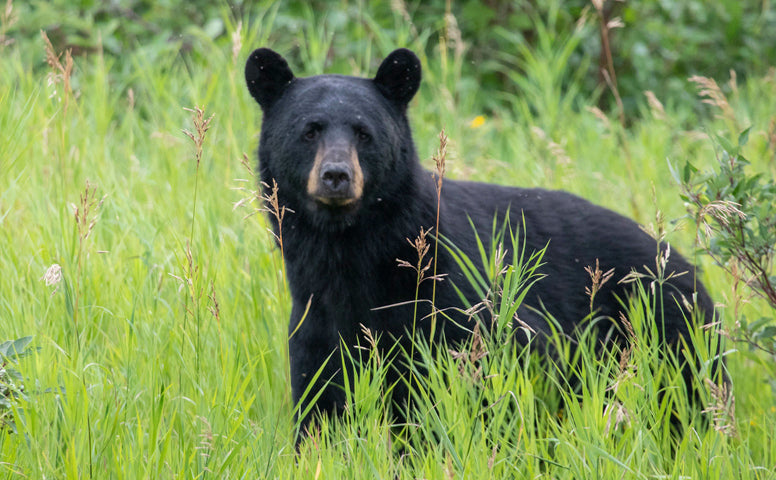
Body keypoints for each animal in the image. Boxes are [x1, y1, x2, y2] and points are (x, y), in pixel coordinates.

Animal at [244, 47, 719, 439]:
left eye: (363, 132)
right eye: (309, 131)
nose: (336, 176)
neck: (352, 250)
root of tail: (683, 264)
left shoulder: (455, 301)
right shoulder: (316, 320)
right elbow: (319, 401)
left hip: (665, 330)